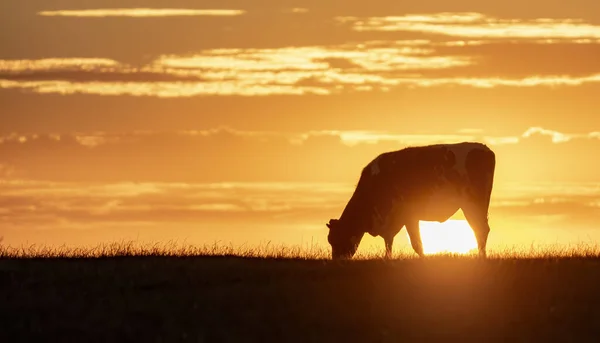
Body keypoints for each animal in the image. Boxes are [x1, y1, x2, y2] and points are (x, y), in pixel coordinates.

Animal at [326, 142, 494, 260]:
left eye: (336, 239)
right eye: (330, 240)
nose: (336, 261)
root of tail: (485, 149)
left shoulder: (408, 216)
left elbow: (416, 243)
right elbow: (389, 242)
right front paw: (388, 258)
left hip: (472, 205)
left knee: (480, 229)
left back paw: (481, 257)